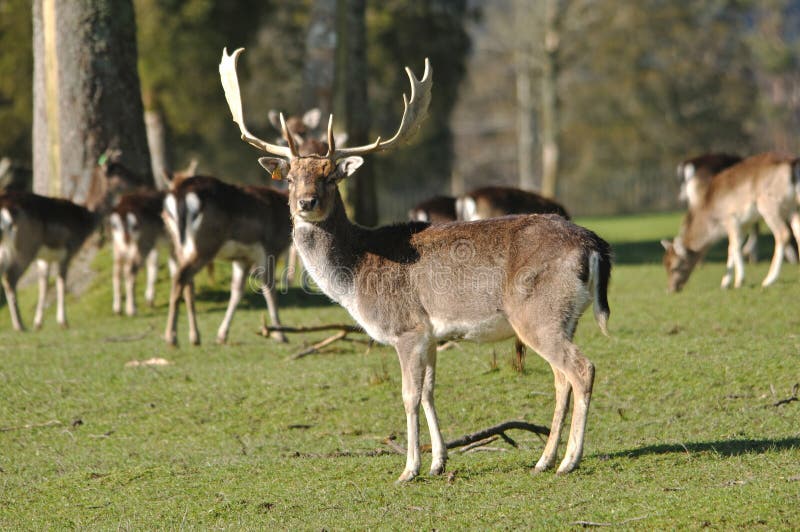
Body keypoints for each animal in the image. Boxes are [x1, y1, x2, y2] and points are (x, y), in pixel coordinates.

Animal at [162, 174, 292, 346]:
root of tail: (180, 195)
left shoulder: (242, 259)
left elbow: (236, 292)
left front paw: (222, 335)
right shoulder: (270, 249)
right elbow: (270, 290)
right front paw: (280, 335)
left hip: (180, 244)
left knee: (188, 284)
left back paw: (195, 337)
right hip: (204, 244)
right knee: (180, 277)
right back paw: (171, 337)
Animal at [220, 47, 612, 482]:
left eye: (330, 177)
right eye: (290, 178)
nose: (307, 203)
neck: (355, 274)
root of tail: (595, 245)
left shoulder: (406, 328)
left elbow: (408, 396)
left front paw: (409, 469)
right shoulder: (432, 335)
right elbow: (428, 392)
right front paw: (439, 462)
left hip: (537, 313)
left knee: (582, 369)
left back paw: (568, 460)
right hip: (563, 318)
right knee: (562, 378)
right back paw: (545, 459)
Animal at [662, 152, 800, 292]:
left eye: (675, 267)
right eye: (665, 265)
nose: (670, 289)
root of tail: (792, 164)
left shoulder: (730, 218)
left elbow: (734, 246)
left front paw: (738, 281)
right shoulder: (744, 224)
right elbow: (734, 246)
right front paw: (725, 283)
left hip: (768, 203)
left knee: (783, 233)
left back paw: (768, 280)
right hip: (793, 206)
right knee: (797, 230)